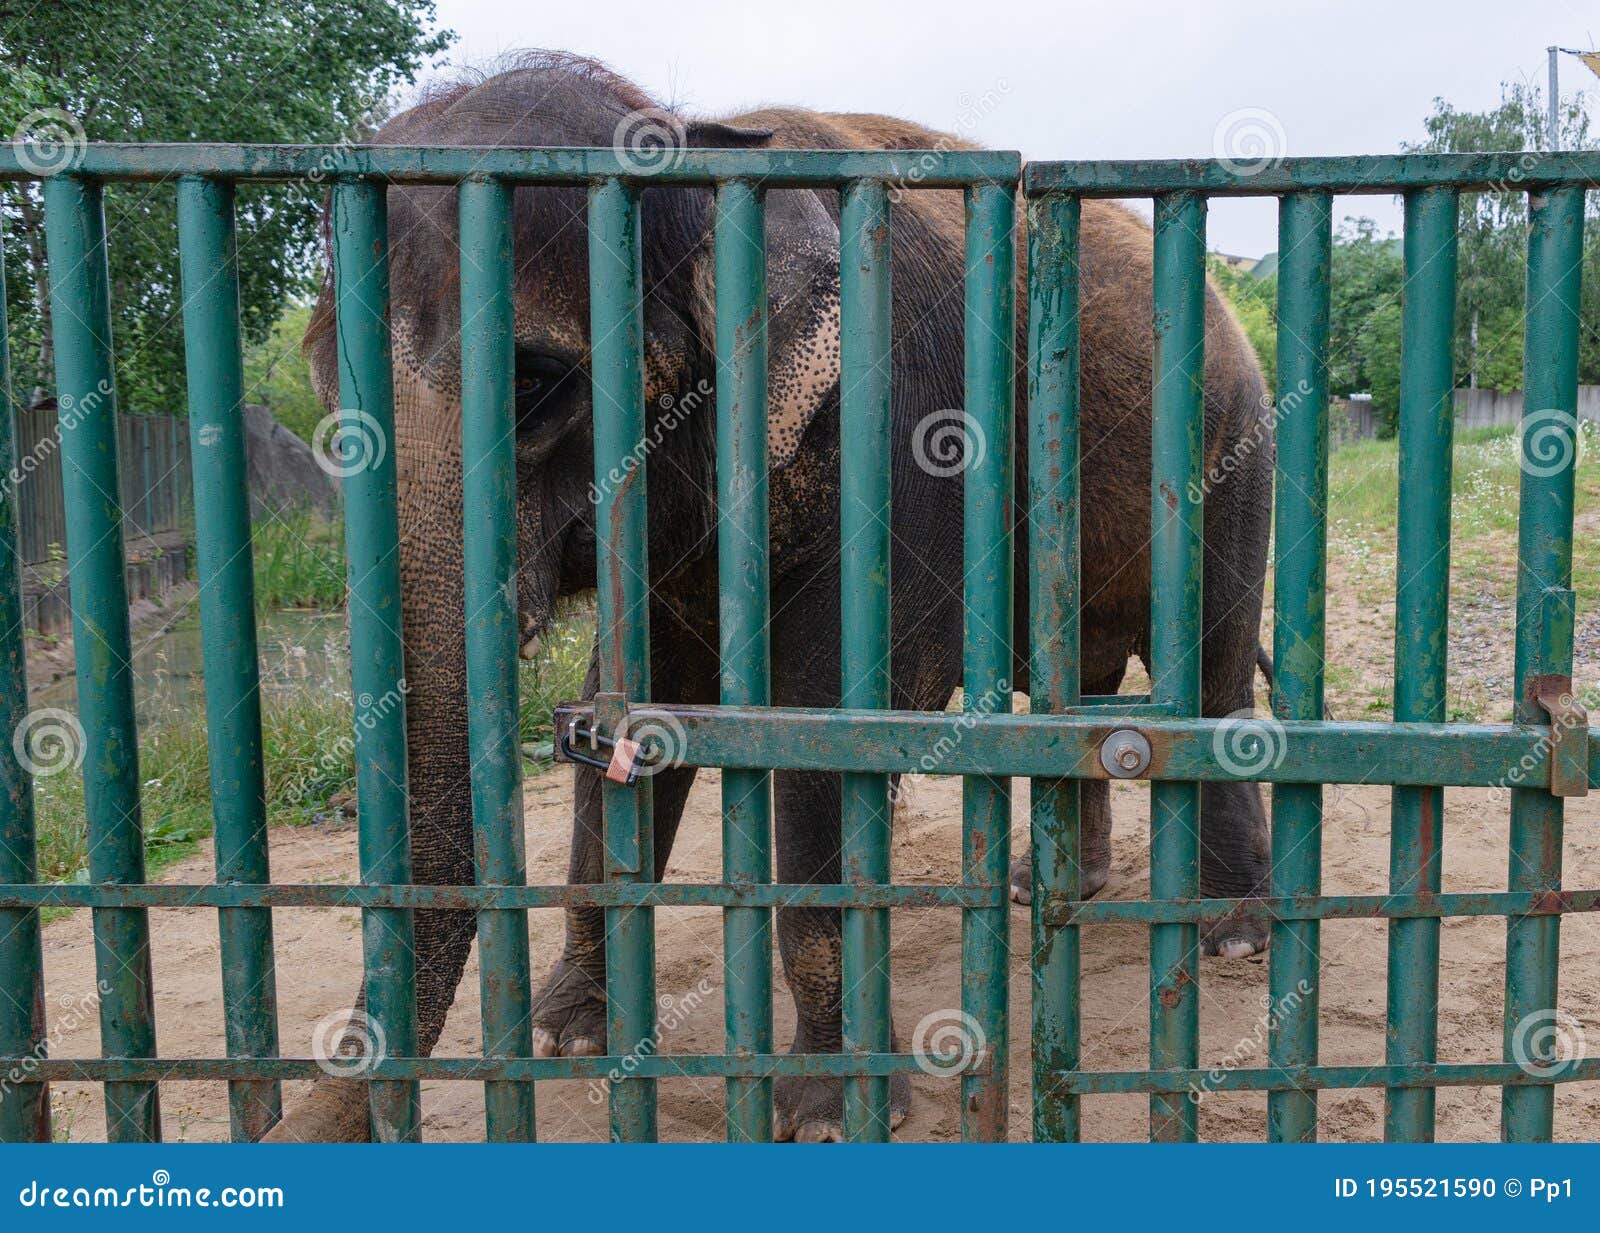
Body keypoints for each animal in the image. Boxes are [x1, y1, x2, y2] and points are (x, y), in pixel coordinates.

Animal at [268, 50, 1273, 1143]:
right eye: (328, 396)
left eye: (534, 383)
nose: (295, 1113)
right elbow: (641, 711)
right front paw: (569, 1033)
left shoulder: (912, 434)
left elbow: (829, 726)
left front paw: (825, 1110)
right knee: (1081, 698)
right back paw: (1041, 890)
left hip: (1234, 458)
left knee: (1215, 680)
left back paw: (1228, 936)